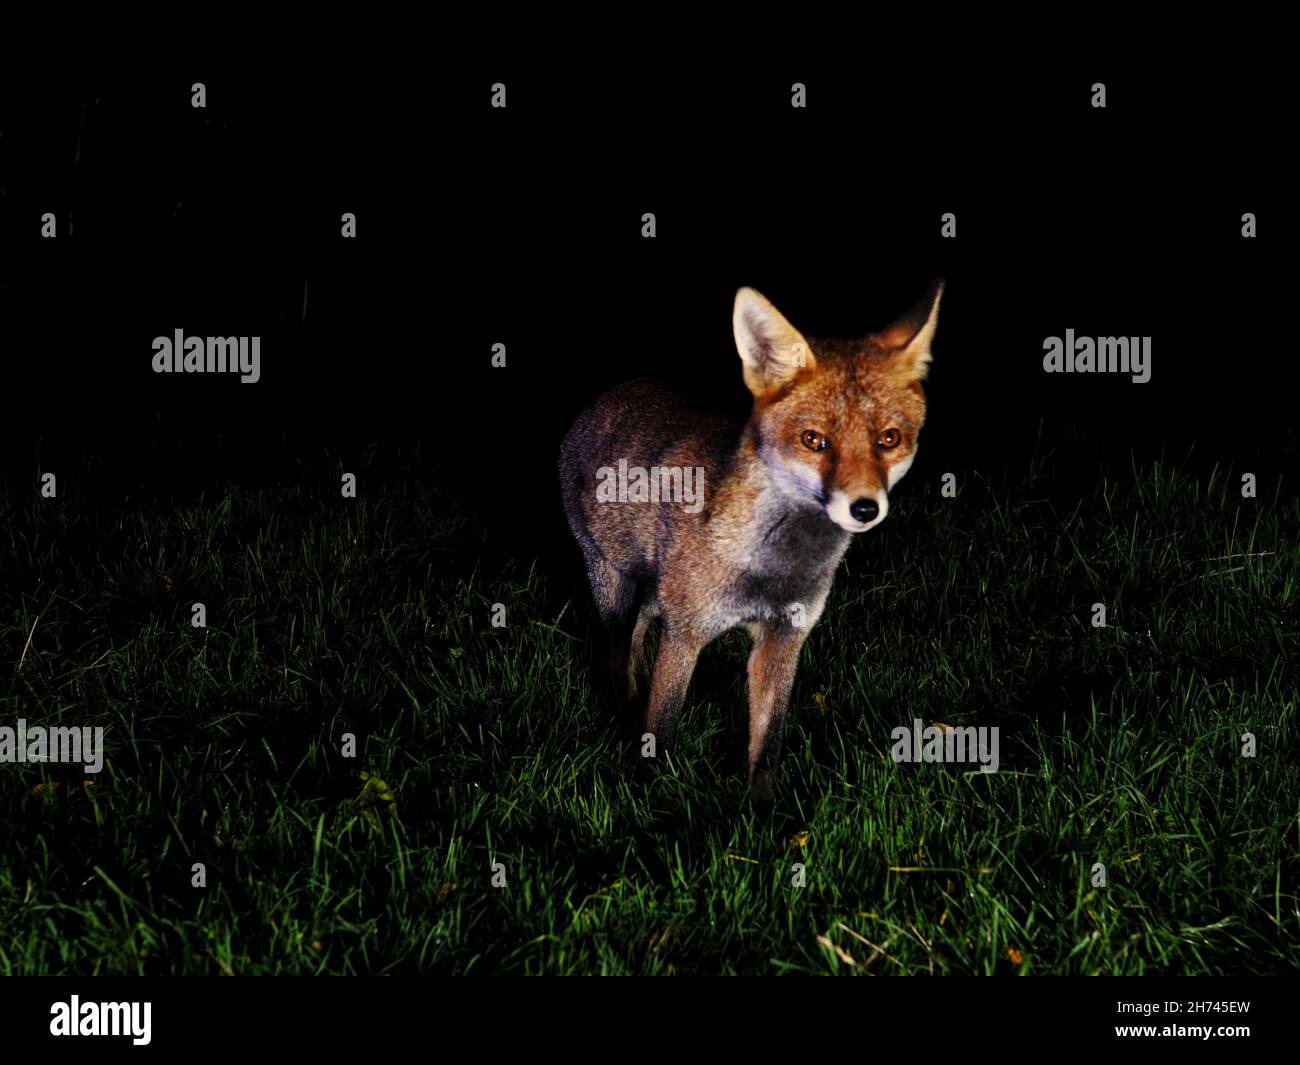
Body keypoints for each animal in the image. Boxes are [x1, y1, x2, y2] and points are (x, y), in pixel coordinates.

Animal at [559, 281, 944, 798]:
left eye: (889, 438)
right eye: (813, 440)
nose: (865, 508)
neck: (772, 570)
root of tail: (613, 394)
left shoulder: (784, 638)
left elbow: (767, 744)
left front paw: (762, 814)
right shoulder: (685, 634)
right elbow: (663, 724)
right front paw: (648, 793)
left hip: (654, 596)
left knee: (638, 639)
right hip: (613, 588)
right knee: (621, 655)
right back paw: (625, 711)